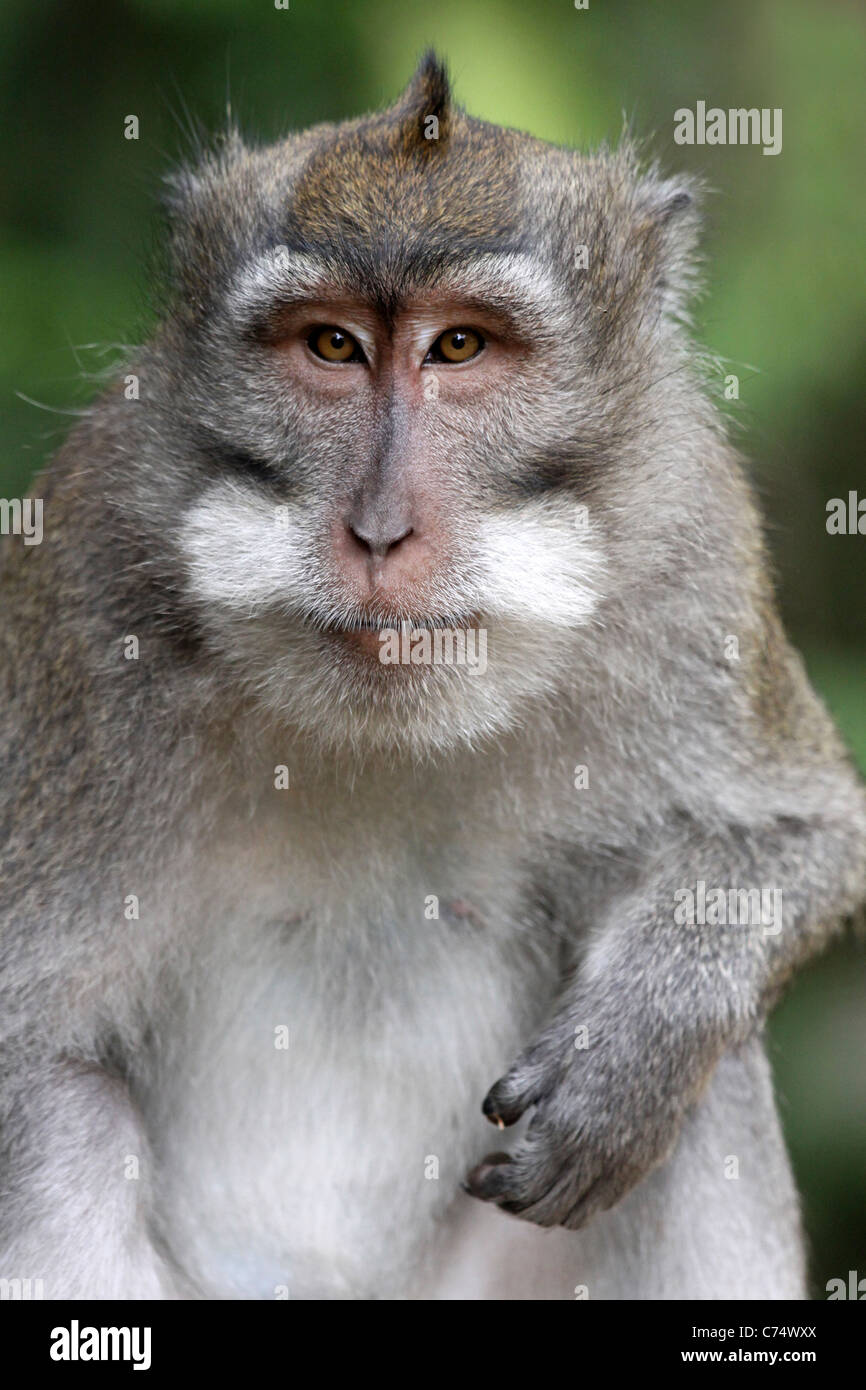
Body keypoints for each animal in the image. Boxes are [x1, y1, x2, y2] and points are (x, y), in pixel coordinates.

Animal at [1, 51, 864, 1302]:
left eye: (460, 348)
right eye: (330, 347)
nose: (378, 529)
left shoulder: (690, 534)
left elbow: (802, 835)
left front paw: (632, 1050)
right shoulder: (87, 564)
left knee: (712, 1090)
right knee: (60, 1120)